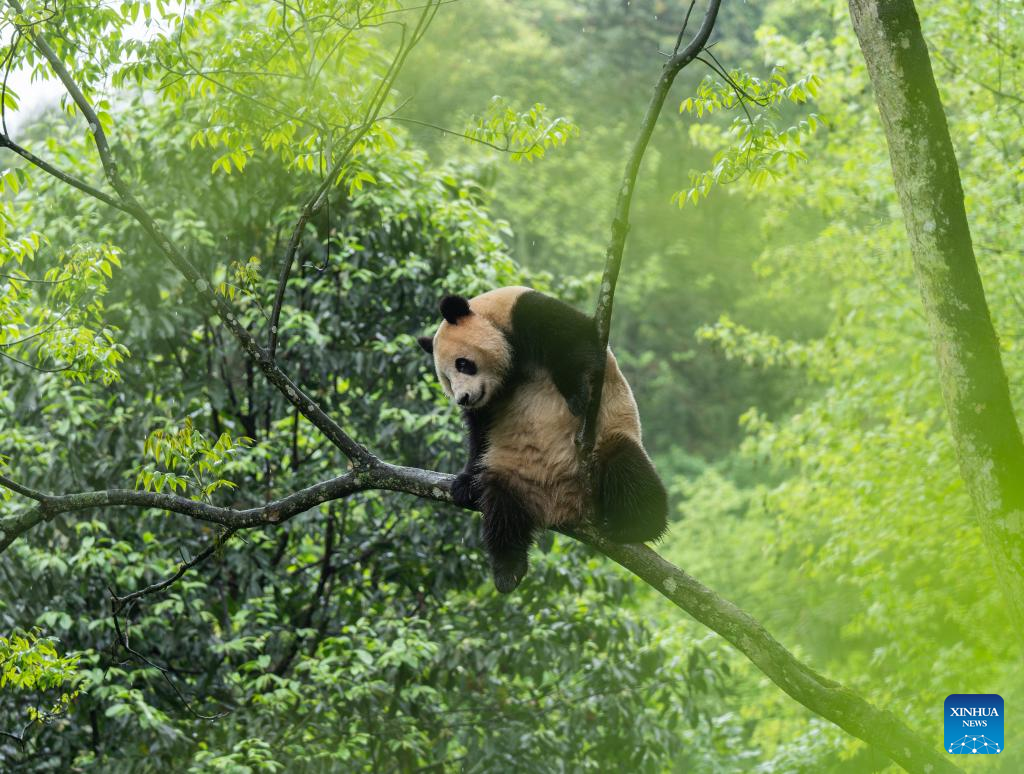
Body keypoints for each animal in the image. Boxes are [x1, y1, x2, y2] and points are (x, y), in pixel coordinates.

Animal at [417, 286, 668, 593]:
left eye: (463, 364)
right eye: (446, 380)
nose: (463, 398)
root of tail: (564, 505)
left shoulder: (528, 312)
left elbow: (577, 345)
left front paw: (578, 397)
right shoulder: (487, 404)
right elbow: (480, 434)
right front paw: (464, 483)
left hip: (607, 441)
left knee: (627, 467)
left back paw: (636, 525)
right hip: (516, 474)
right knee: (501, 509)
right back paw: (508, 571)